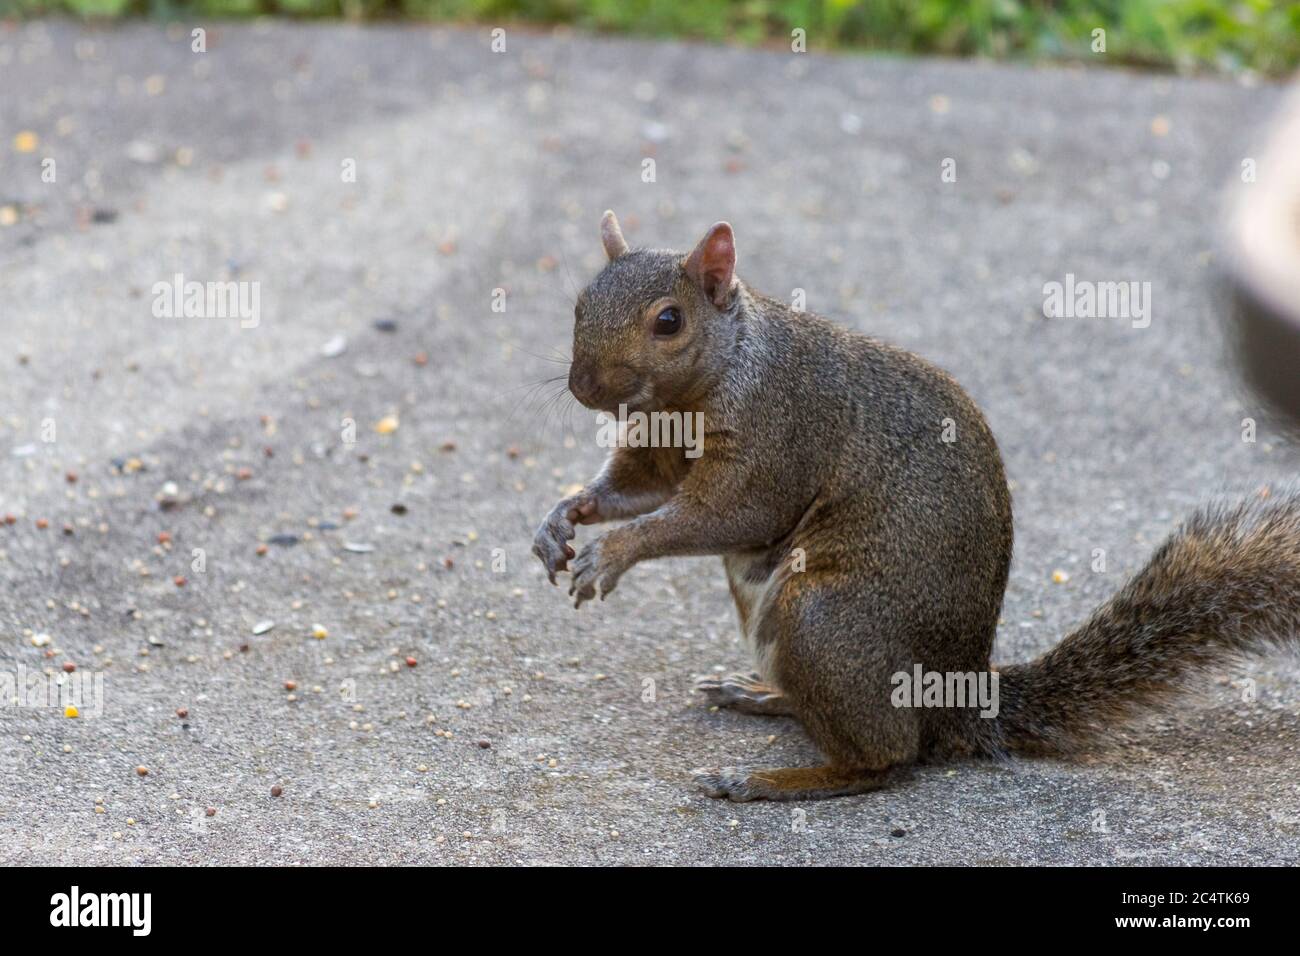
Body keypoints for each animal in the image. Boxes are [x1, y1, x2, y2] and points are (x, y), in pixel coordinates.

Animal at [532, 210, 1300, 802]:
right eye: (577, 305)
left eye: (669, 321)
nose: (583, 387)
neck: (704, 385)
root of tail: (957, 697)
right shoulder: (659, 450)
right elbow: (637, 489)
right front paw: (562, 519)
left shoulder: (779, 433)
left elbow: (722, 516)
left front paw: (612, 553)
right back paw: (763, 697)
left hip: (822, 619)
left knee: (885, 759)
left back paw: (773, 781)